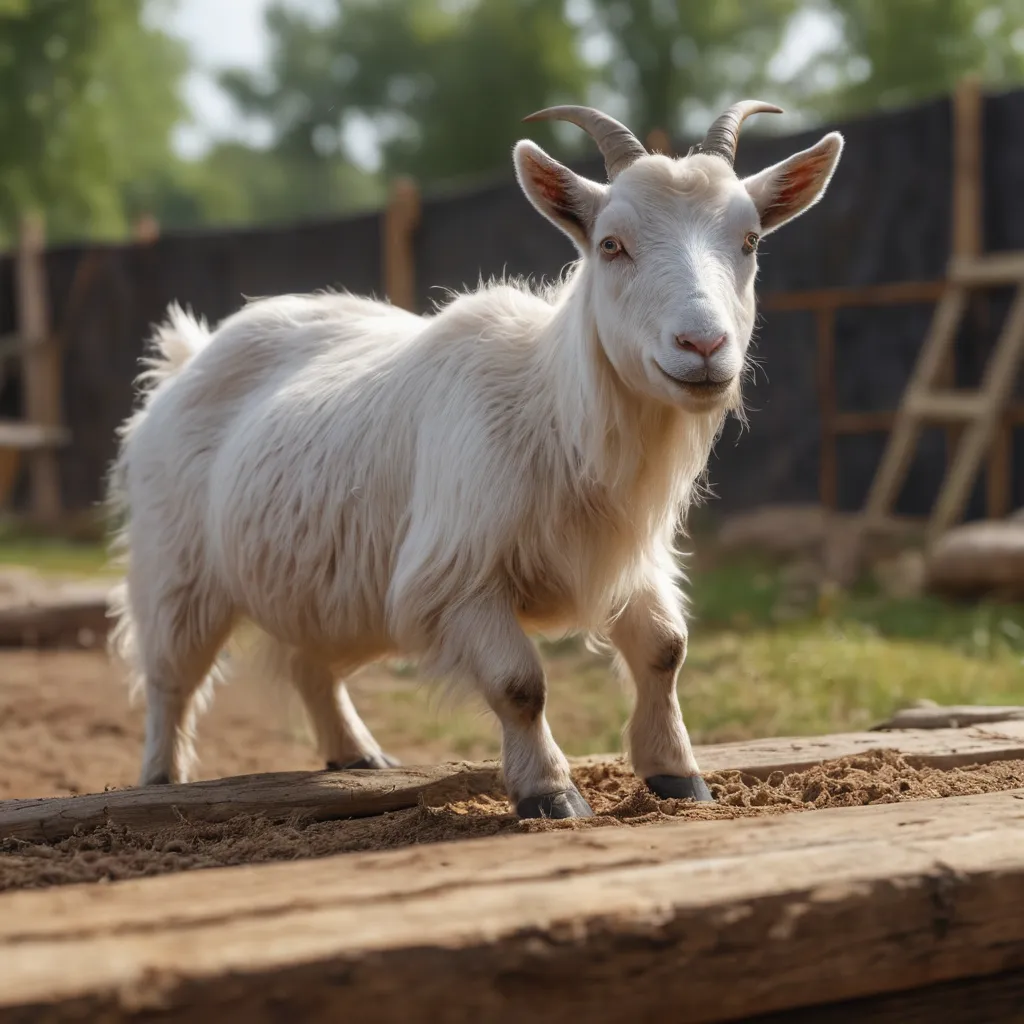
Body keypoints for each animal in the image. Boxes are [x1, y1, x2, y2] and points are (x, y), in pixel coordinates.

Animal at [108, 102, 843, 819]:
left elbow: (665, 650)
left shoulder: (630, 558)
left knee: (309, 666)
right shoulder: (458, 576)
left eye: (749, 241)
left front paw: (679, 775)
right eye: (611, 244)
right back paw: (162, 779)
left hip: (323, 585)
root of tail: (188, 356)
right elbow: (520, 683)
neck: (552, 413)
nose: (703, 346)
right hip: (178, 568)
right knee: (169, 677)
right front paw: (550, 792)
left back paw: (358, 756)